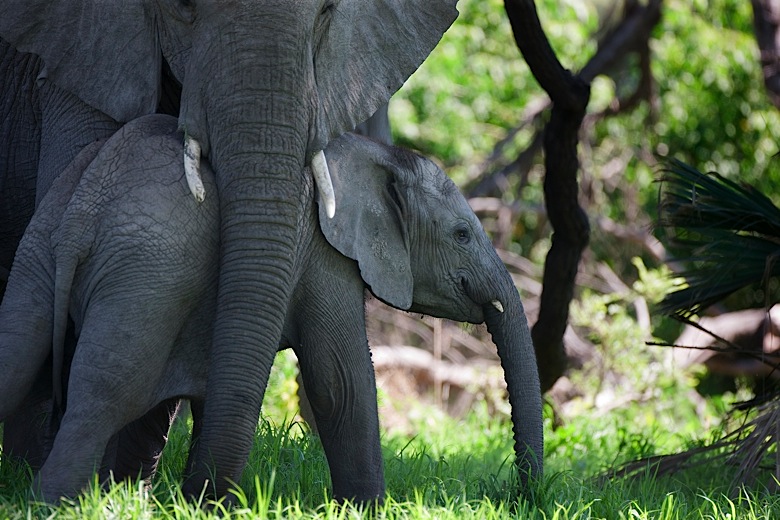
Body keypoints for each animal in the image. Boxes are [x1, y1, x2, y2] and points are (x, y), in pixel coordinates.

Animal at [0, 113, 542, 502]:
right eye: (462, 234)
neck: (371, 156)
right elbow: (340, 380)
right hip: (147, 273)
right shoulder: (325, 253)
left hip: (42, 243)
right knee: (105, 394)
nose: (518, 495)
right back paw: (53, 503)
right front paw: (367, 509)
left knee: (16, 353)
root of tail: (84, 215)